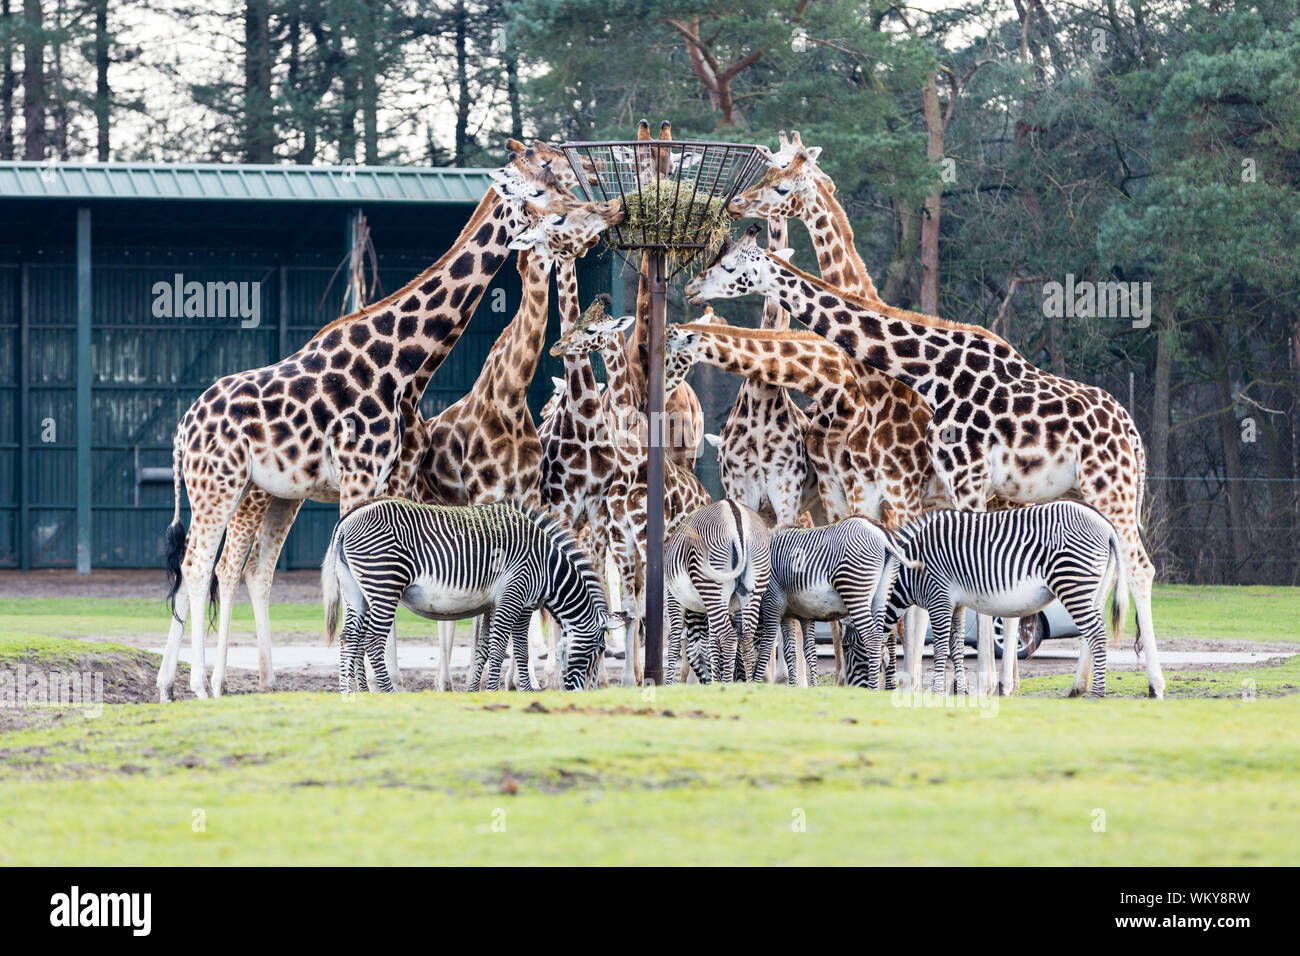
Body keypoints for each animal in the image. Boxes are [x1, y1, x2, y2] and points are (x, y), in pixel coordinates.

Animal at [322, 498, 628, 693]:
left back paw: (352, 693)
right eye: (599, 649)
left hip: (357, 592)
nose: (580, 692)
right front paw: (501, 690)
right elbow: (506, 647)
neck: (548, 567)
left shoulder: (498, 604)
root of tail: (346, 520)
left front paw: (477, 691)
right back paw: (386, 692)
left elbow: (488, 648)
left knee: (350, 638)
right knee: (372, 640)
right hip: (384, 585)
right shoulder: (515, 599)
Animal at [549, 301, 712, 686]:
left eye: (593, 330)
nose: (557, 347)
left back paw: (688, 676)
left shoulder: (646, 534)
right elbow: (631, 607)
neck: (630, 460)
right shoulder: (621, 538)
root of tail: (707, 496)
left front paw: (652, 677)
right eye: (577, 320)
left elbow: (655, 609)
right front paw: (628, 680)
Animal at [665, 500, 772, 684]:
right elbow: (712, 644)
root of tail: (735, 514)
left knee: (729, 637)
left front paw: (666, 685)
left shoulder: (674, 600)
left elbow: (674, 642)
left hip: (712, 584)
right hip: (752, 588)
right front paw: (715, 681)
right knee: (746, 638)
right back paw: (749, 683)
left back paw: (727, 685)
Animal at [755, 516, 914, 689]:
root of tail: (881, 534)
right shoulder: (797, 614)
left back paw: (872, 689)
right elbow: (798, 651)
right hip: (881, 597)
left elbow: (765, 647)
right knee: (881, 641)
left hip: (855, 592)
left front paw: (755, 682)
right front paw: (800, 687)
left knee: (872, 638)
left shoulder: (772, 604)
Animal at [882, 500, 1128, 698]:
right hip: (1094, 589)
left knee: (1097, 634)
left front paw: (936, 692)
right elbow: (956, 647)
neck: (911, 571)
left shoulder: (939, 597)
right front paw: (961, 691)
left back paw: (1097, 693)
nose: (882, 690)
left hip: (1072, 583)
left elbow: (941, 647)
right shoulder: (957, 604)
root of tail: (1107, 526)